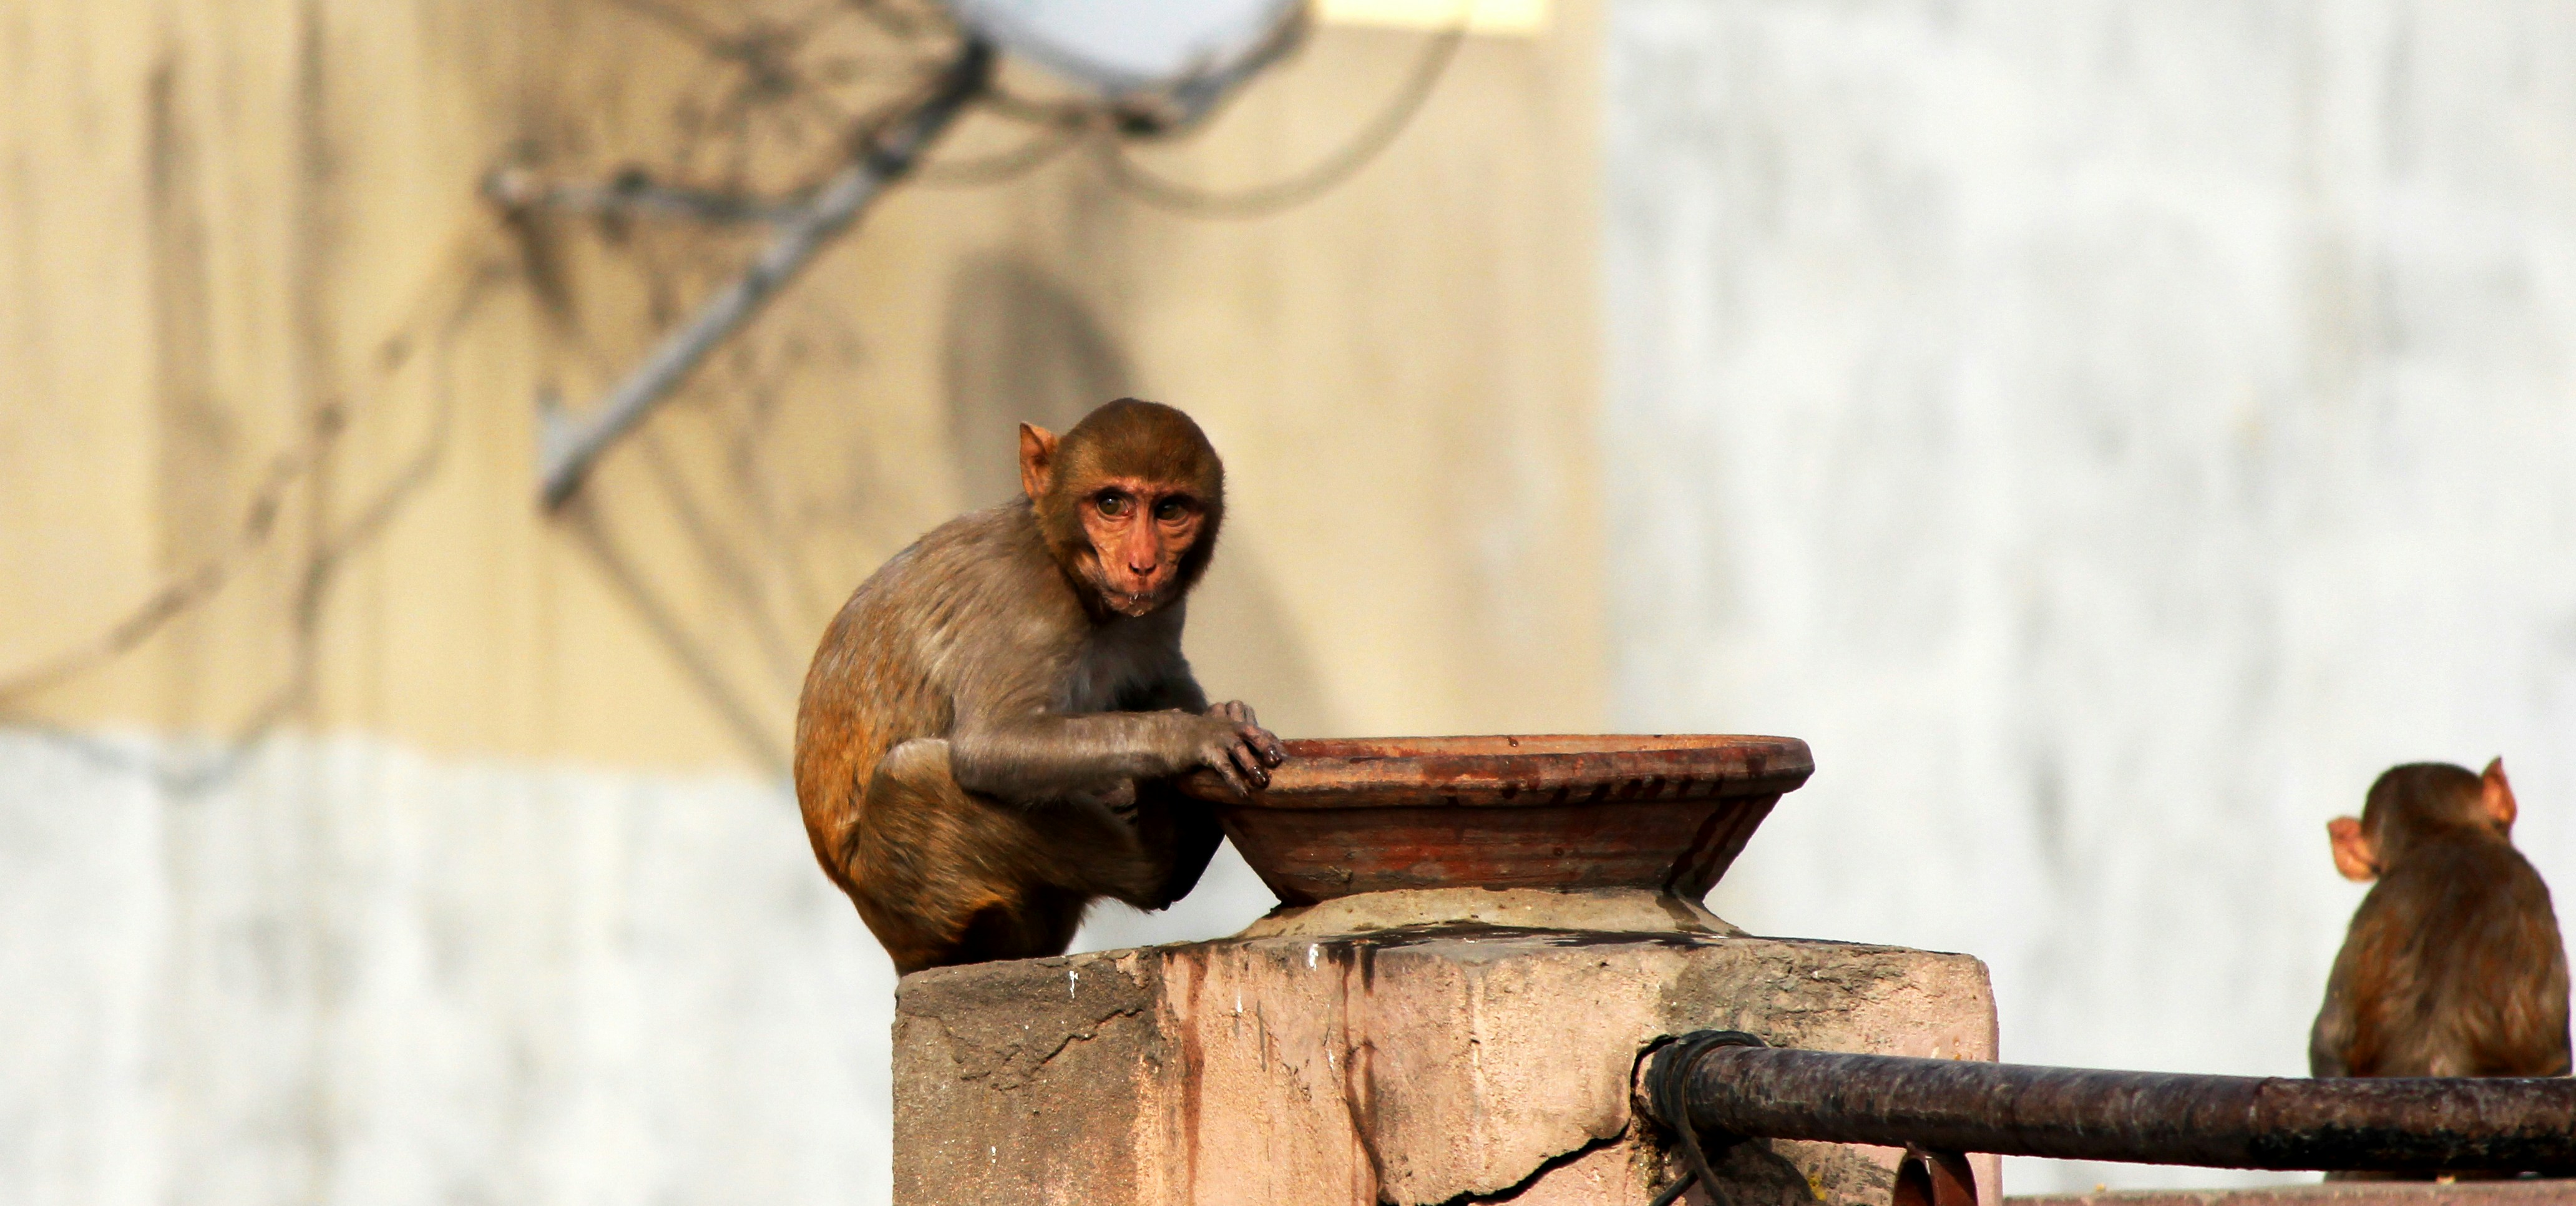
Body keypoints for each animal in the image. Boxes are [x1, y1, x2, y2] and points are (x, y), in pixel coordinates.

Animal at [793, 399, 1287, 975]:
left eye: (1169, 509)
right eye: (1112, 503)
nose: (1143, 564)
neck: (1070, 570)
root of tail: (901, 952)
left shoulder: (1159, 612)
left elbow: (1162, 679)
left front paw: (1221, 712)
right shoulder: (1022, 598)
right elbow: (990, 746)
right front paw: (1191, 737)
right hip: (917, 899)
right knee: (912, 775)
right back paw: (1163, 859)